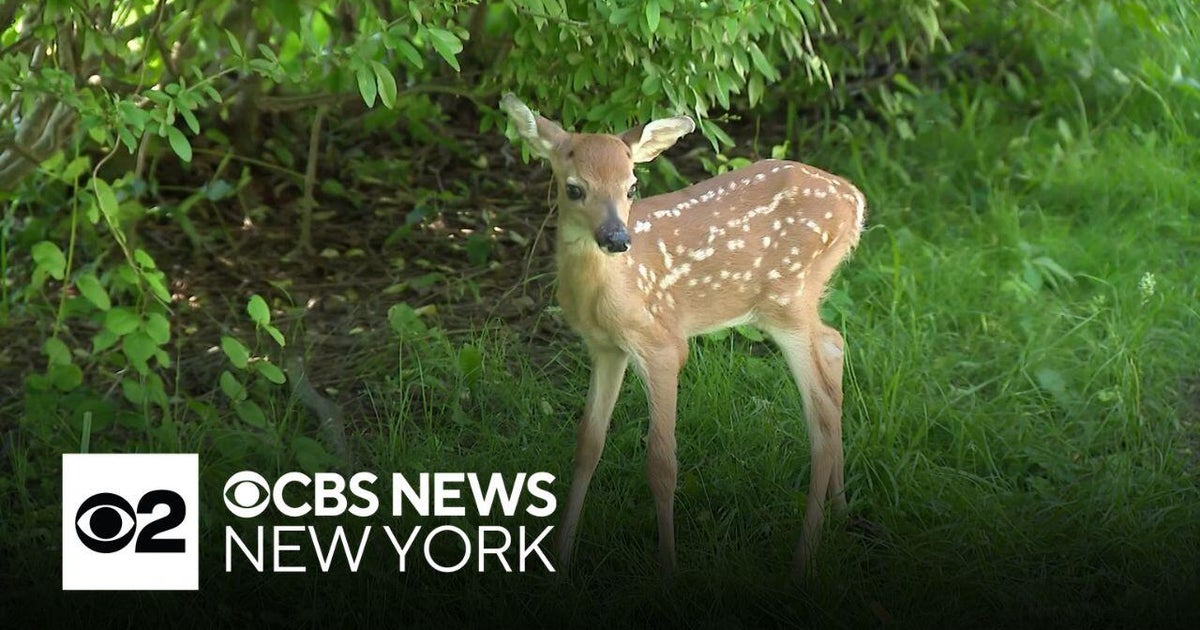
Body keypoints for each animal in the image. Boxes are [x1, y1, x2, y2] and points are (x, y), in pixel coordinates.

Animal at [499, 93, 866, 578]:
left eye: (631, 186)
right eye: (574, 188)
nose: (617, 238)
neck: (611, 290)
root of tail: (856, 199)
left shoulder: (661, 344)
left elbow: (661, 464)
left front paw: (668, 569)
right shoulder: (605, 348)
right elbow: (587, 444)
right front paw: (560, 557)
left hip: (788, 298)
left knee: (820, 409)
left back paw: (802, 559)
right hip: (800, 299)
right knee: (833, 343)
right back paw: (841, 509)